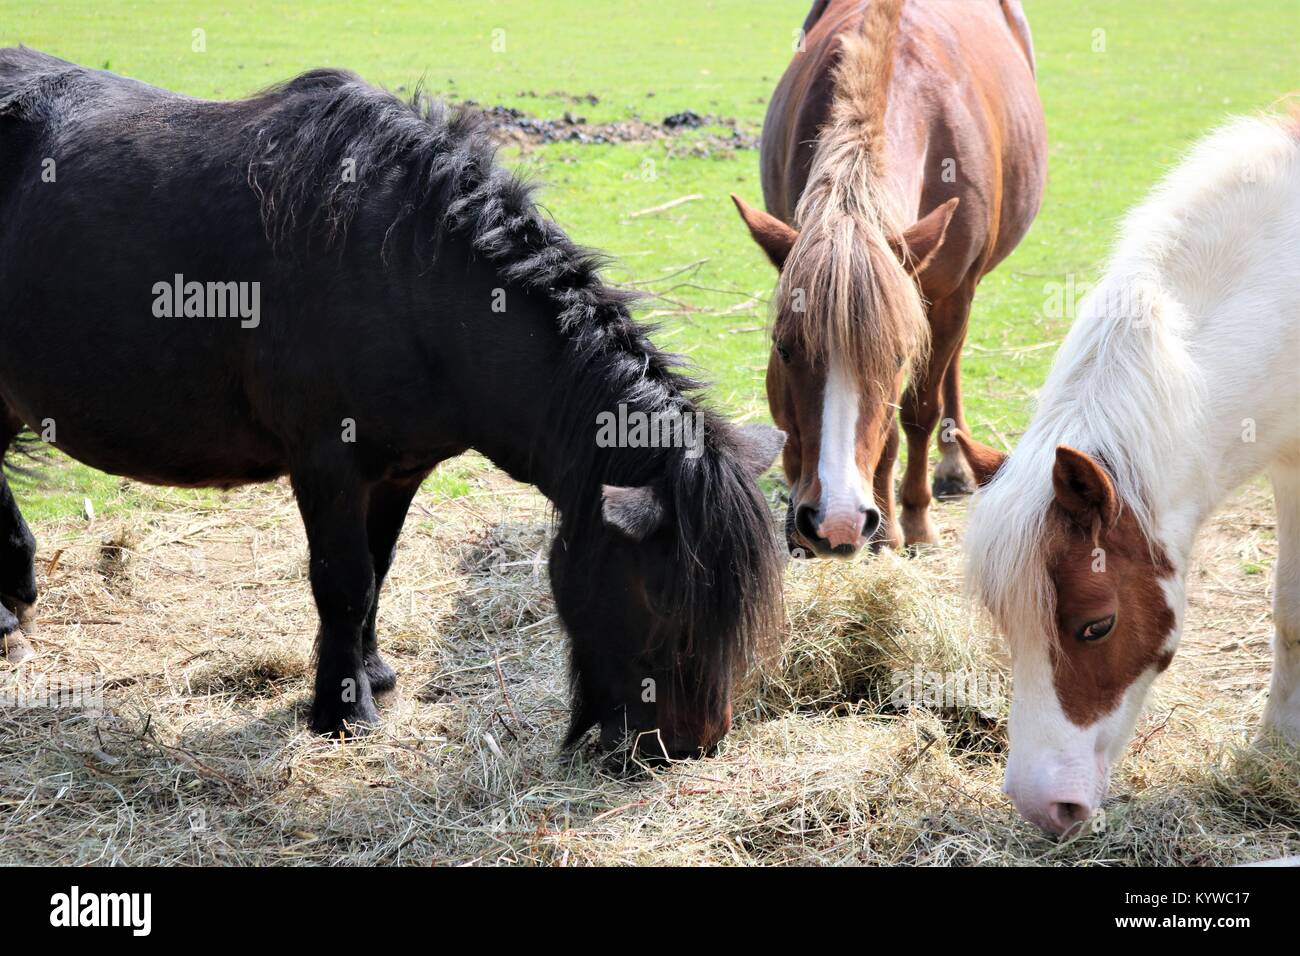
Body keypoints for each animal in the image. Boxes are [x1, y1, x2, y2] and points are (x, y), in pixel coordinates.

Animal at [0, 48, 788, 760]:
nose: (690, 745)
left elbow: (377, 571)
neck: (406, 276)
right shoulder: (327, 464)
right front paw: (341, 711)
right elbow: (343, 581)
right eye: (664, 601)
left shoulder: (401, 468)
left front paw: (369, 673)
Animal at [731, 0, 1045, 556]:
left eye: (896, 357)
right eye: (784, 350)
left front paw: (914, 520)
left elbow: (918, 411)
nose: (835, 522)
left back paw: (953, 466)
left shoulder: (950, 293)